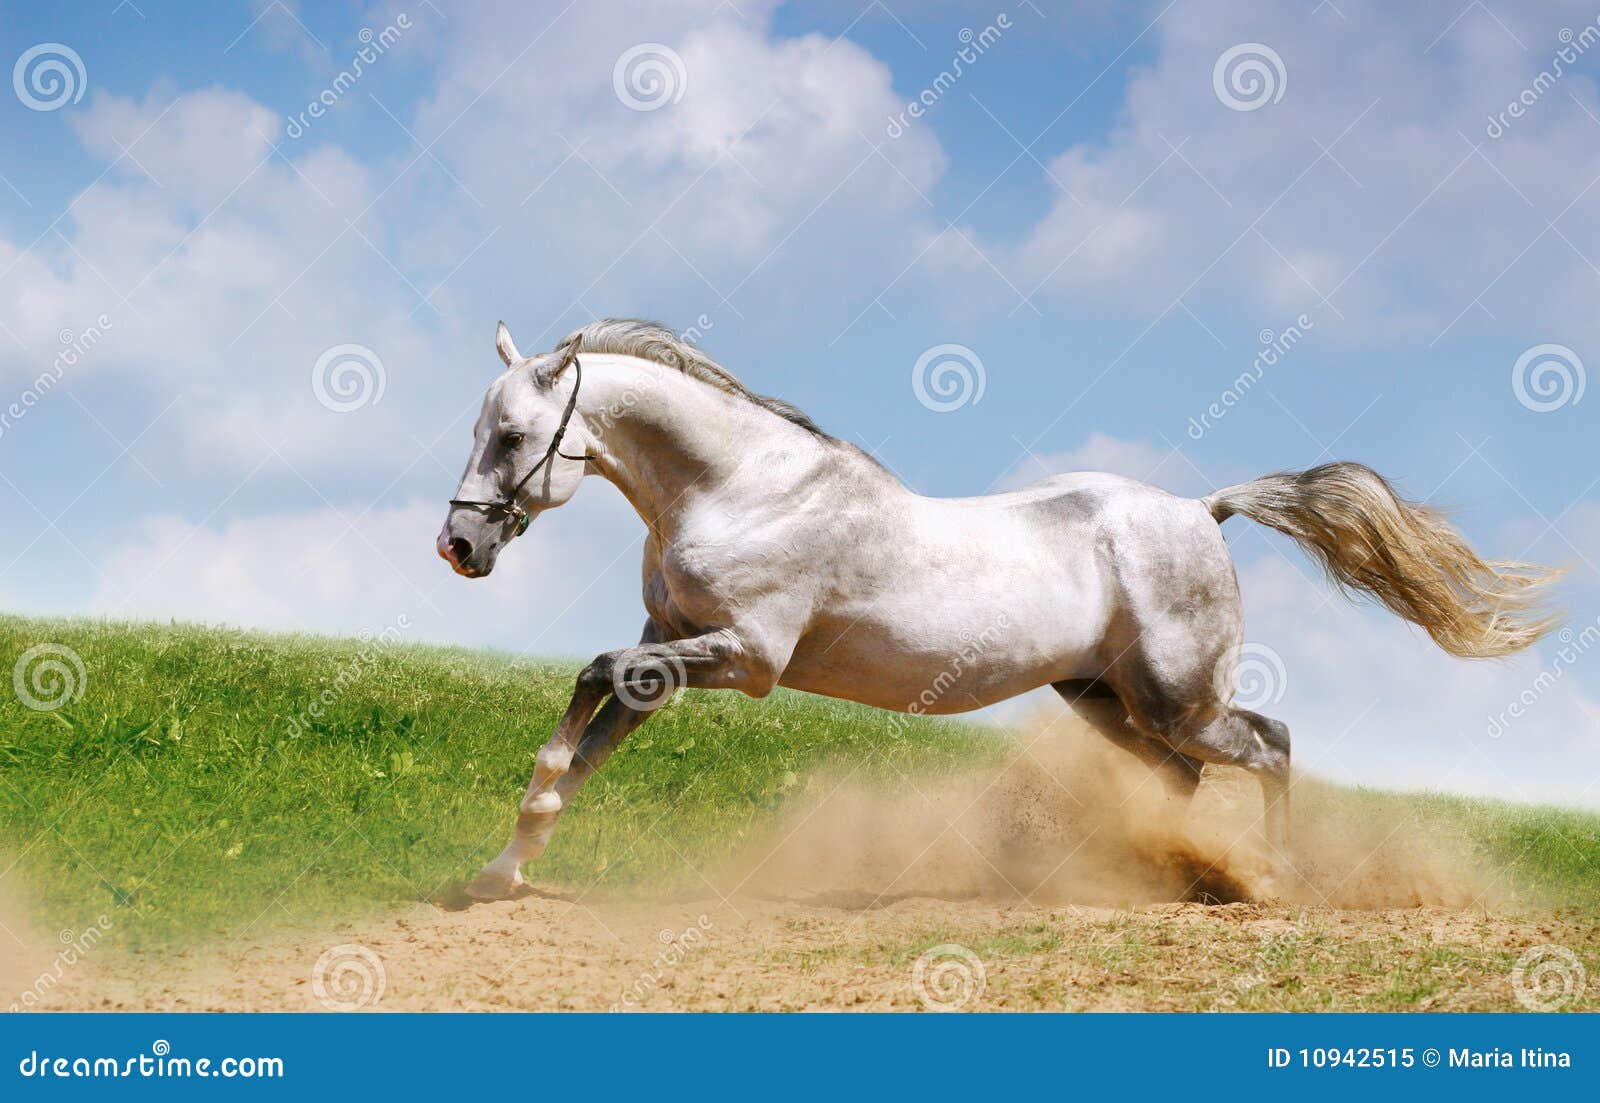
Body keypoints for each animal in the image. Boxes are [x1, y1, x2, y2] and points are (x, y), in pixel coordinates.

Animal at [439, 318, 1561, 901]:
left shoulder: (744, 655)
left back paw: (1271, 881)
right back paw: (1159, 877)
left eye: (513, 435)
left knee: (1270, 744)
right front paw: (502, 868)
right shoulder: (668, 643)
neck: (742, 486)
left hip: (1177, 696)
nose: (459, 547)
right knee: (1186, 776)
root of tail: (1202, 510)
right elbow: (585, 743)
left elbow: (588, 680)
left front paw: (509, 850)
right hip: (1102, 700)